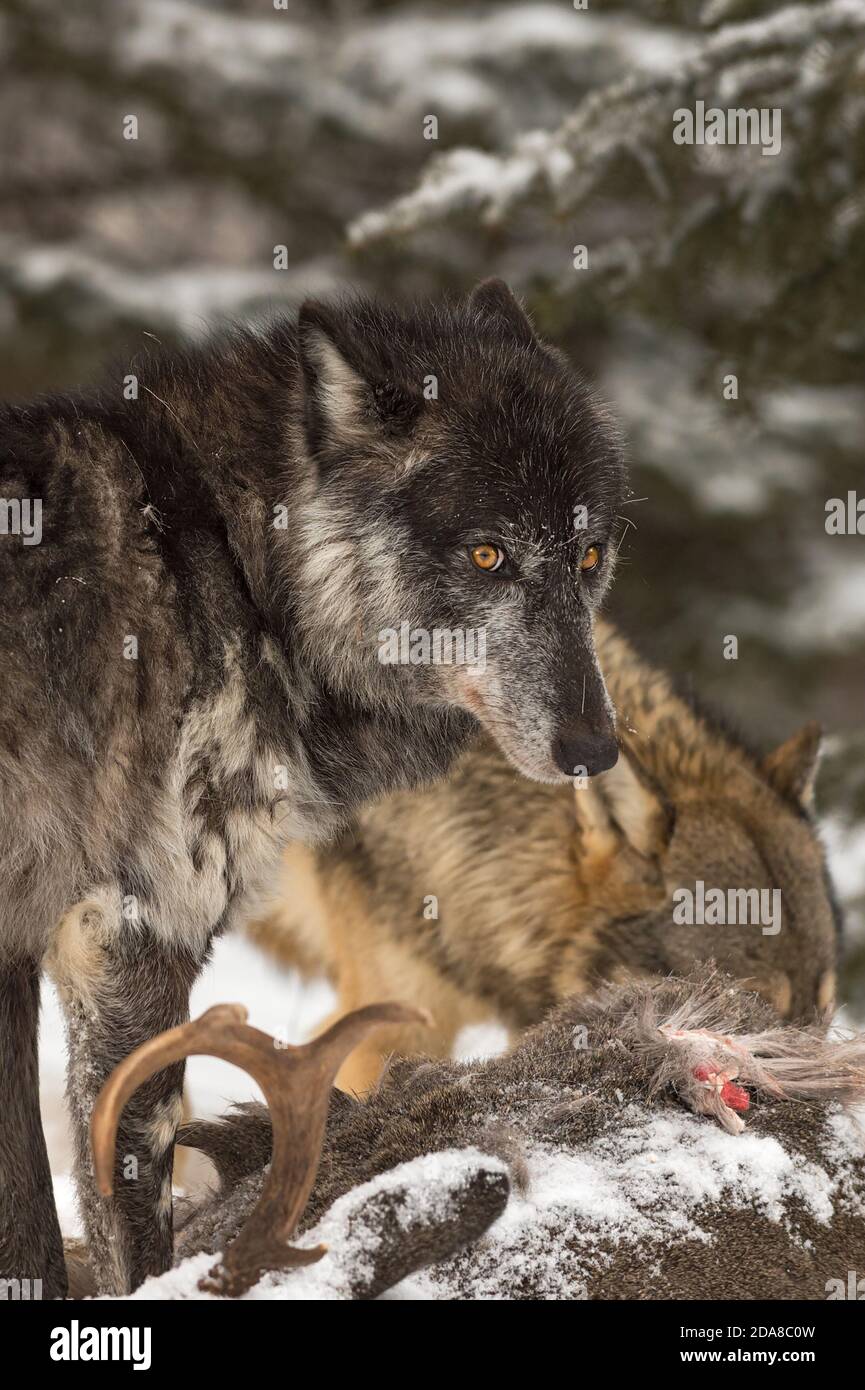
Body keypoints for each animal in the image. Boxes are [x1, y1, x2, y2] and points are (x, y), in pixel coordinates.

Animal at [0, 280, 626, 1297]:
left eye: (587, 558)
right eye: (488, 556)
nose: (592, 749)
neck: (240, 570)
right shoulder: (130, 938)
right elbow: (127, 1221)